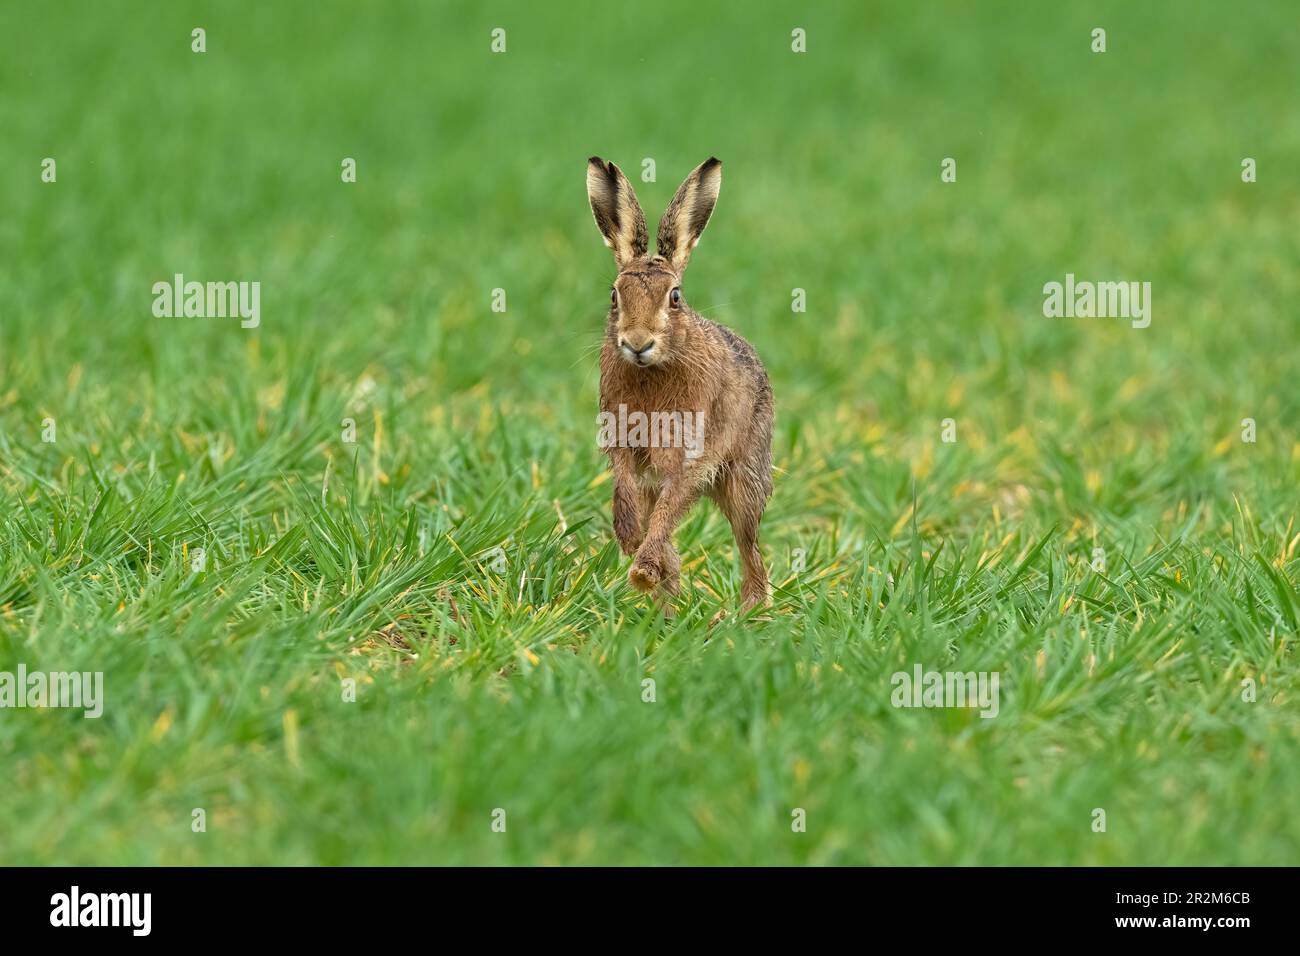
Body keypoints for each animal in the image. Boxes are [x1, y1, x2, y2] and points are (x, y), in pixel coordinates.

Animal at [586, 156, 774, 613]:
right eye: (614, 295)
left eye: (675, 297)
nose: (637, 343)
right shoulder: (622, 440)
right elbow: (626, 486)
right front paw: (631, 541)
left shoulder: (692, 451)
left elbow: (672, 505)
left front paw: (642, 566)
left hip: (745, 479)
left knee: (748, 546)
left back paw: (747, 611)